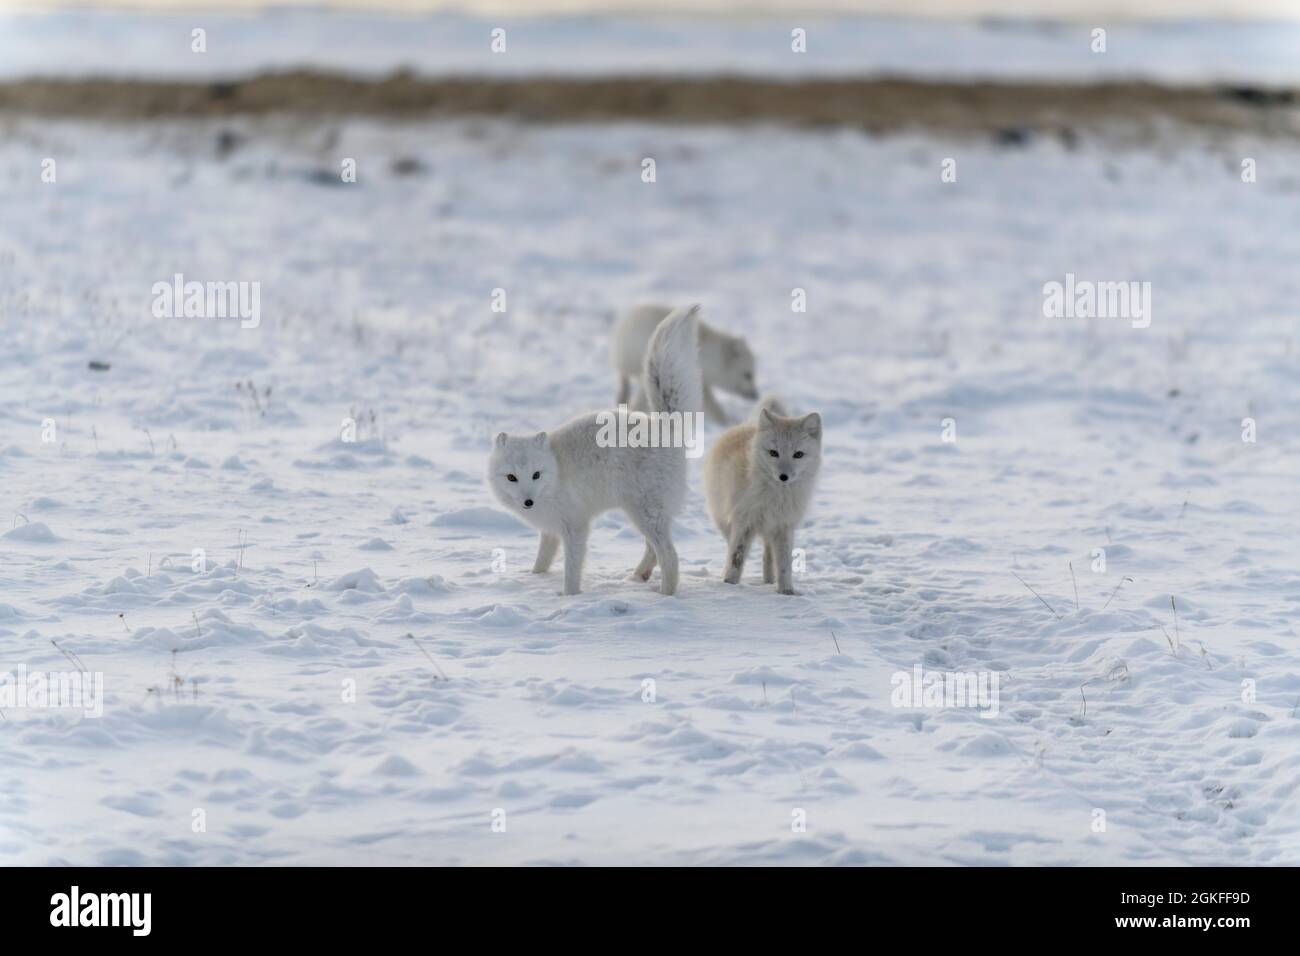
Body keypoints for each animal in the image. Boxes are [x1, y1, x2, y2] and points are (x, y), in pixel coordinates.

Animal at [488, 305, 704, 596]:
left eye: (536, 474)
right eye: (511, 477)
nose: (528, 502)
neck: (556, 472)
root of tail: (665, 424)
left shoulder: (576, 525)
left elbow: (572, 569)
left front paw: (569, 596)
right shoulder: (550, 529)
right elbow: (542, 560)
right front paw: (535, 579)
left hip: (645, 512)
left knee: (669, 556)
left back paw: (665, 595)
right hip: (643, 513)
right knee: (654, 551)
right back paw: (639, 576)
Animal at [612, 303, 758, 425]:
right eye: (748, 375)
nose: (756, 395)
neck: (711, 355)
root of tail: (623, 325)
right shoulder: (702, 381)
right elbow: (713, 406)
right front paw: (726, 422)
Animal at [703, 403, 823, 595]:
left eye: (798, 454)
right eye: (773, 453)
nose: (783, 477)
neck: (775, 498)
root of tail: (746, 425)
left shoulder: (784, 526)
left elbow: (784, 564)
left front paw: (786, 591)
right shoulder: (744, 522)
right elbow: (736, 557)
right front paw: (730, 584)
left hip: (769, 530)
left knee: (768, 554)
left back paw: (769, 580)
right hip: (724, 521)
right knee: (731, 548)